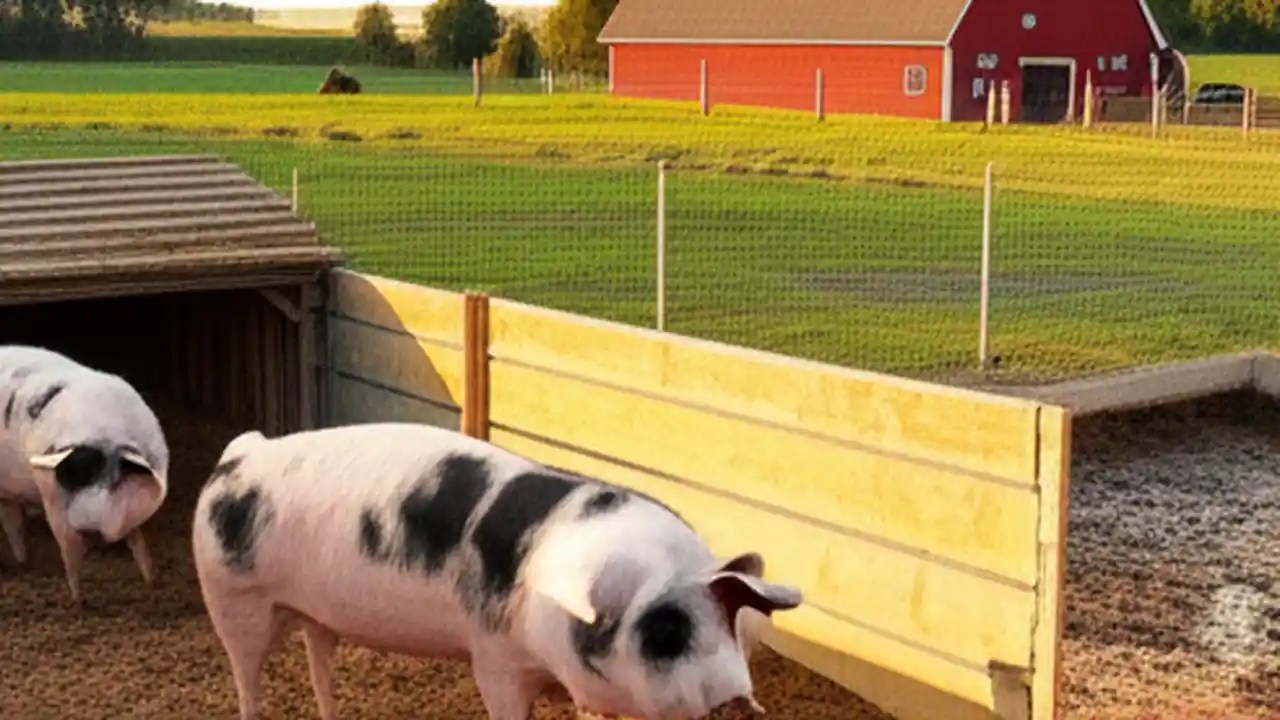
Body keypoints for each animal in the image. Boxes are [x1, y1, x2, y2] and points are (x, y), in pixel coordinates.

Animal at [0, 345, 169, 603]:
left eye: (114, 479)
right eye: (74, 476)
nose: (89, 525)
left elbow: (138, 543)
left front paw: (151, 582)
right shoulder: (52, 498)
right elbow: (71, 557)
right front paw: (78, 601)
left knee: (12, 524)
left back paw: (23, 561)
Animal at [192, 423, 802, 720]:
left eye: (729, 624)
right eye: (664, 633)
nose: (737, 705)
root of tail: (240, 455)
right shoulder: (494, 659)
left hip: (314, 614)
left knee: (319, 662)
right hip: (233, 599)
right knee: (247, 678)